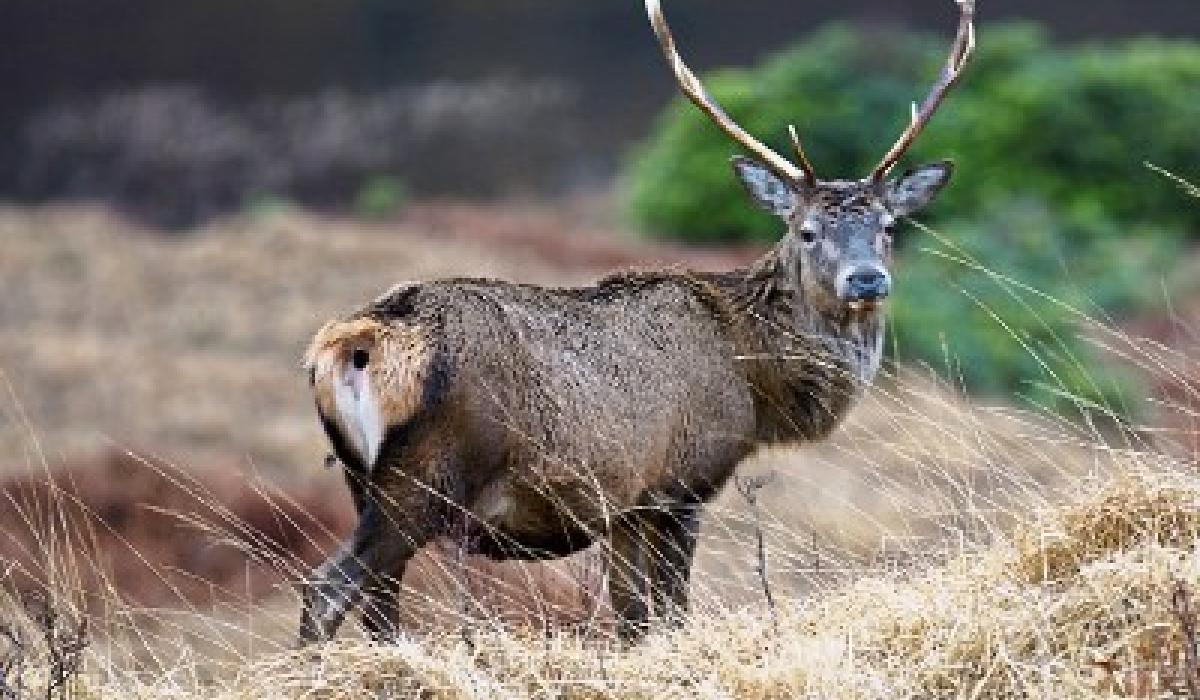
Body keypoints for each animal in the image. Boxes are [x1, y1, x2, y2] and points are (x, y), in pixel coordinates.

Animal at [297, 0, 975, 645]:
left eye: (888, 227)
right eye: (807, 231)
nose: (866, 279)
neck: (754, 379)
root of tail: (350, 345)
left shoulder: (622, 508)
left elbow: (630, 624)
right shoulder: (681, 486)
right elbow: (670, 616)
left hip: (358, 478)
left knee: (376, 606)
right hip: (425, 475)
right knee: (325, 589)